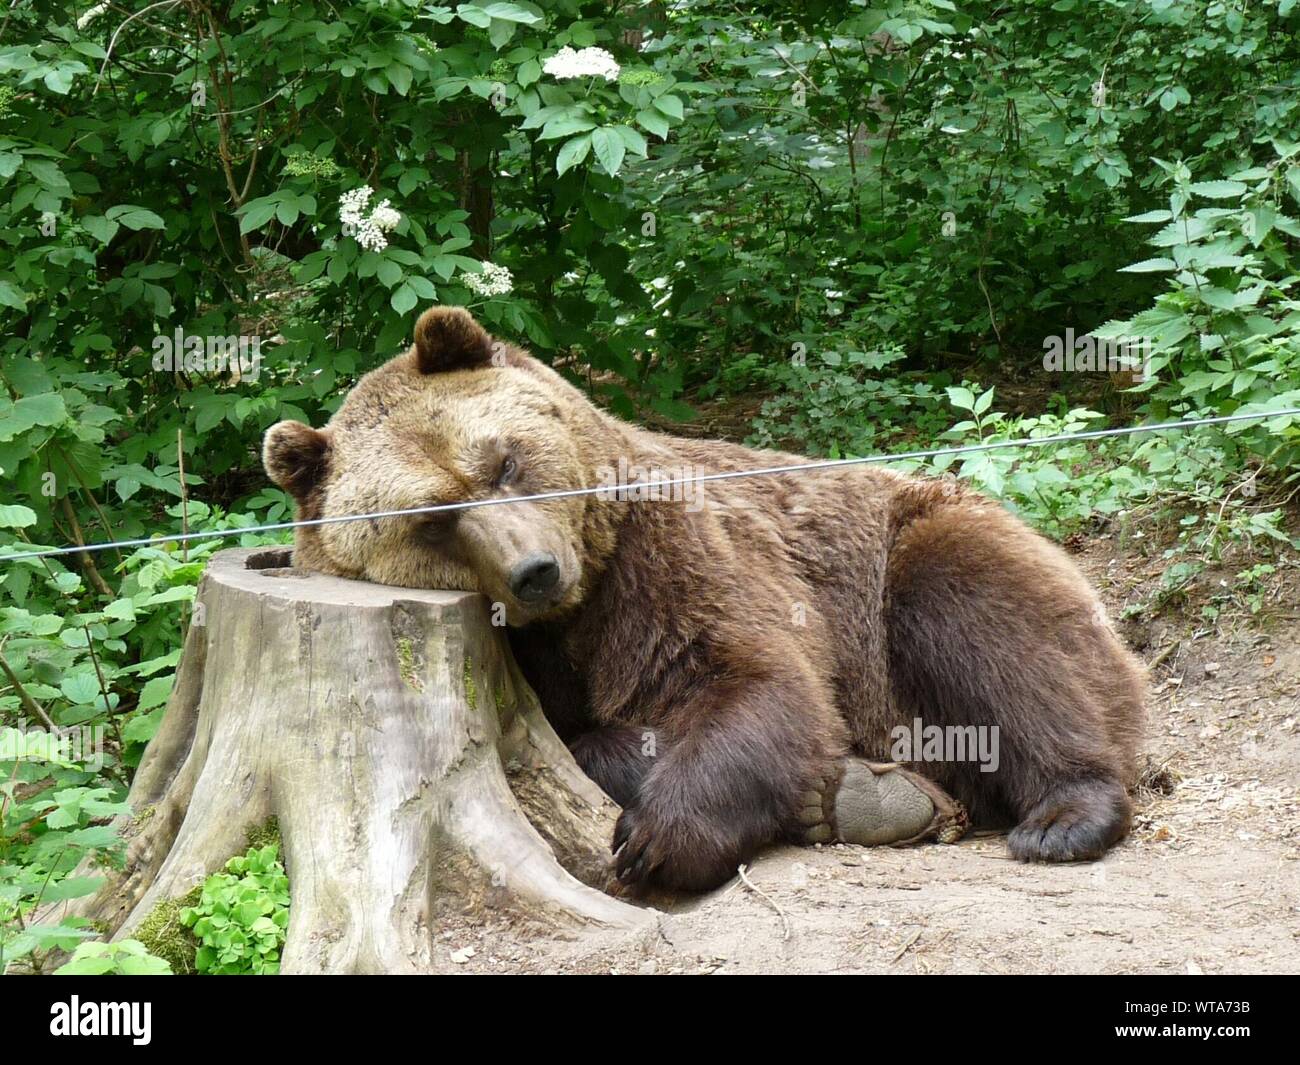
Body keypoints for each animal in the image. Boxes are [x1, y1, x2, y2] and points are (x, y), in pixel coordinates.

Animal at [263, 305, 1147, 892]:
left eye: (504, 460)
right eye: (434, 519)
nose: (536, 569)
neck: (575, 607)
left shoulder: (670, 556)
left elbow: (755, 677)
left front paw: (652, 838)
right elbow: (583, 728)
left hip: (921, 550)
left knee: (994, 635)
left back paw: (1061, 815)